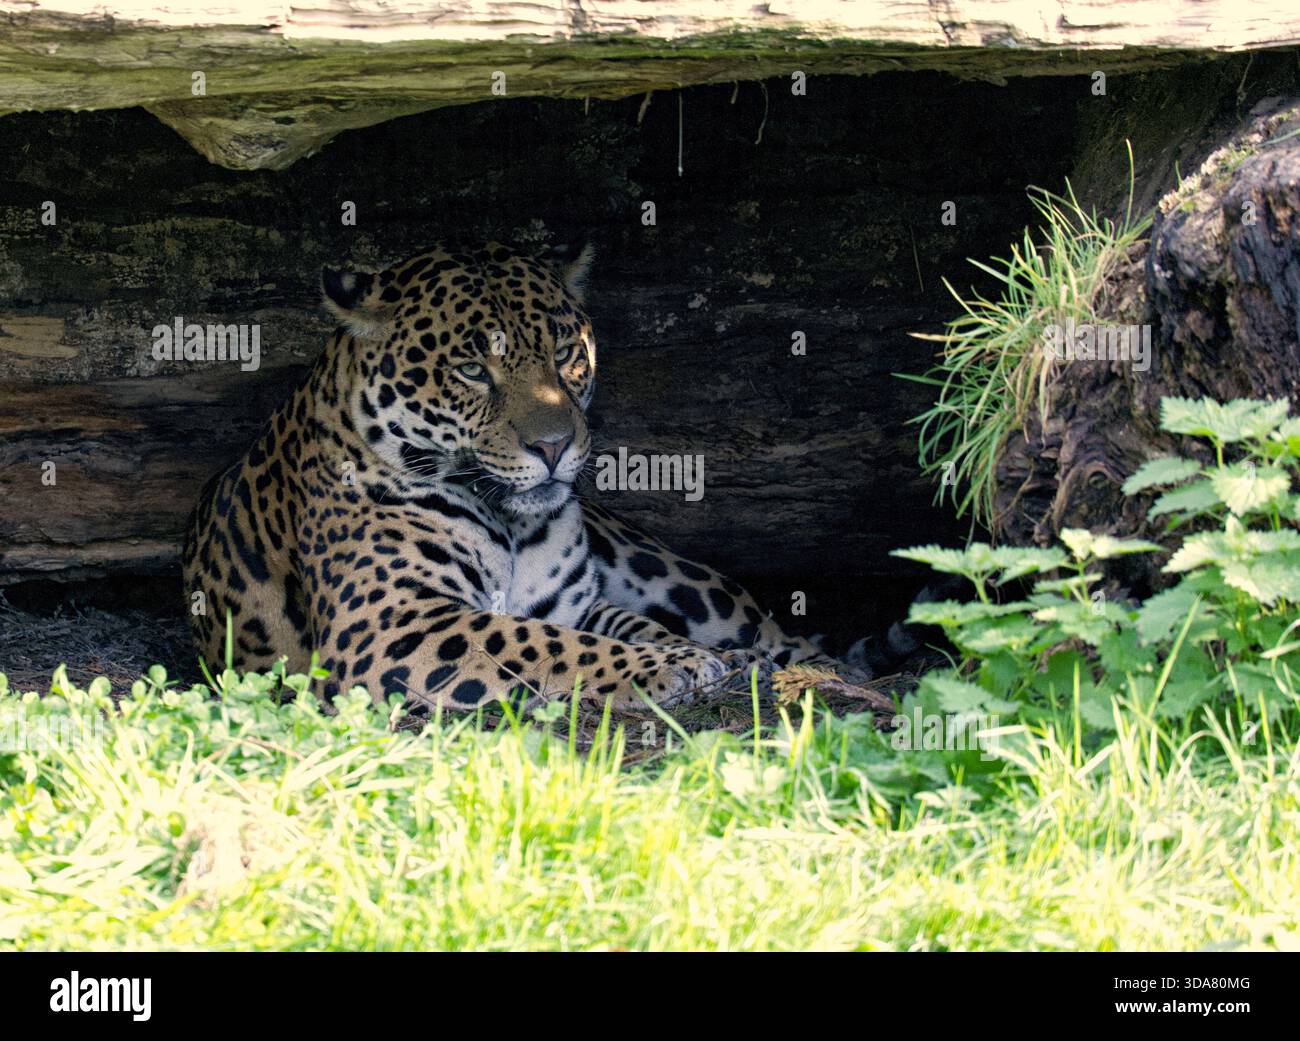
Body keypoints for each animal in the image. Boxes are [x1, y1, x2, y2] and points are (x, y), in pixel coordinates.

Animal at [181, 242, 864, 714]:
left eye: (565, 353)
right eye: (470, 370)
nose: (555, 445)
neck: (511, 524)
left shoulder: (575, 604)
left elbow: (620, 626)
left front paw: (697, 655)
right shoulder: (389, 622)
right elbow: (534, 642)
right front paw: (666, 668)